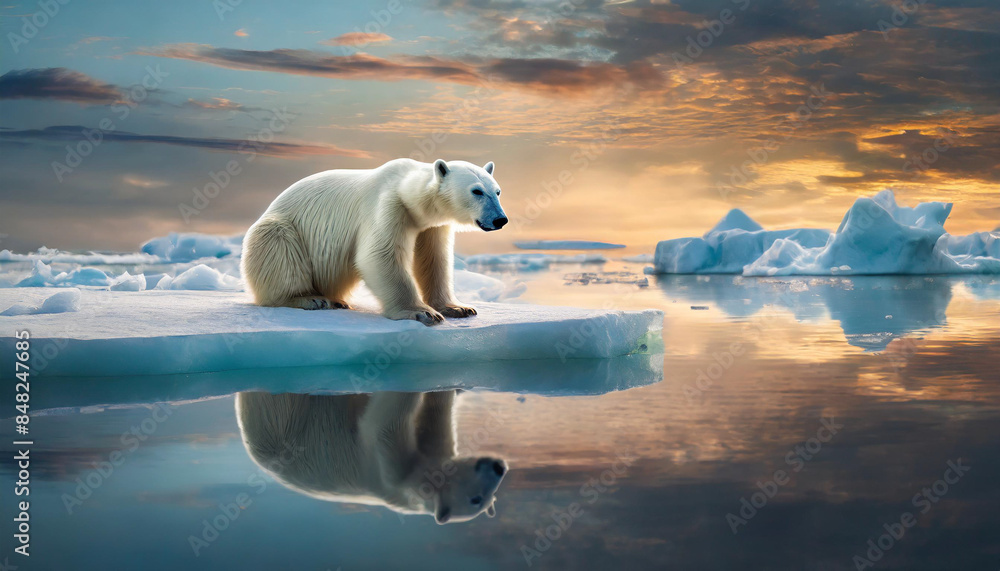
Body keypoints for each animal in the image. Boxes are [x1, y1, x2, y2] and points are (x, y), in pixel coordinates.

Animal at [235, 390, 508, 524]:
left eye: (485, 498)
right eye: (476, 499)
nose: (499, 466)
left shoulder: (398, 469)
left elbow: (391, 427)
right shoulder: (394, 469)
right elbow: (392, 424)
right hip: (281, 419)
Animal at [241, 158, 507, 325]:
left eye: (497, 191)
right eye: (476, 191)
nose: (500, 219)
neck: (408, 192)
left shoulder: (432, 226)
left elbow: (435, 260)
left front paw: (459, 308)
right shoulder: (388, 206)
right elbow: (379, 255)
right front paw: (423, 313)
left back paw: (336, 300)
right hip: (281, 228)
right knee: (277, 242)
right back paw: (310, 298)